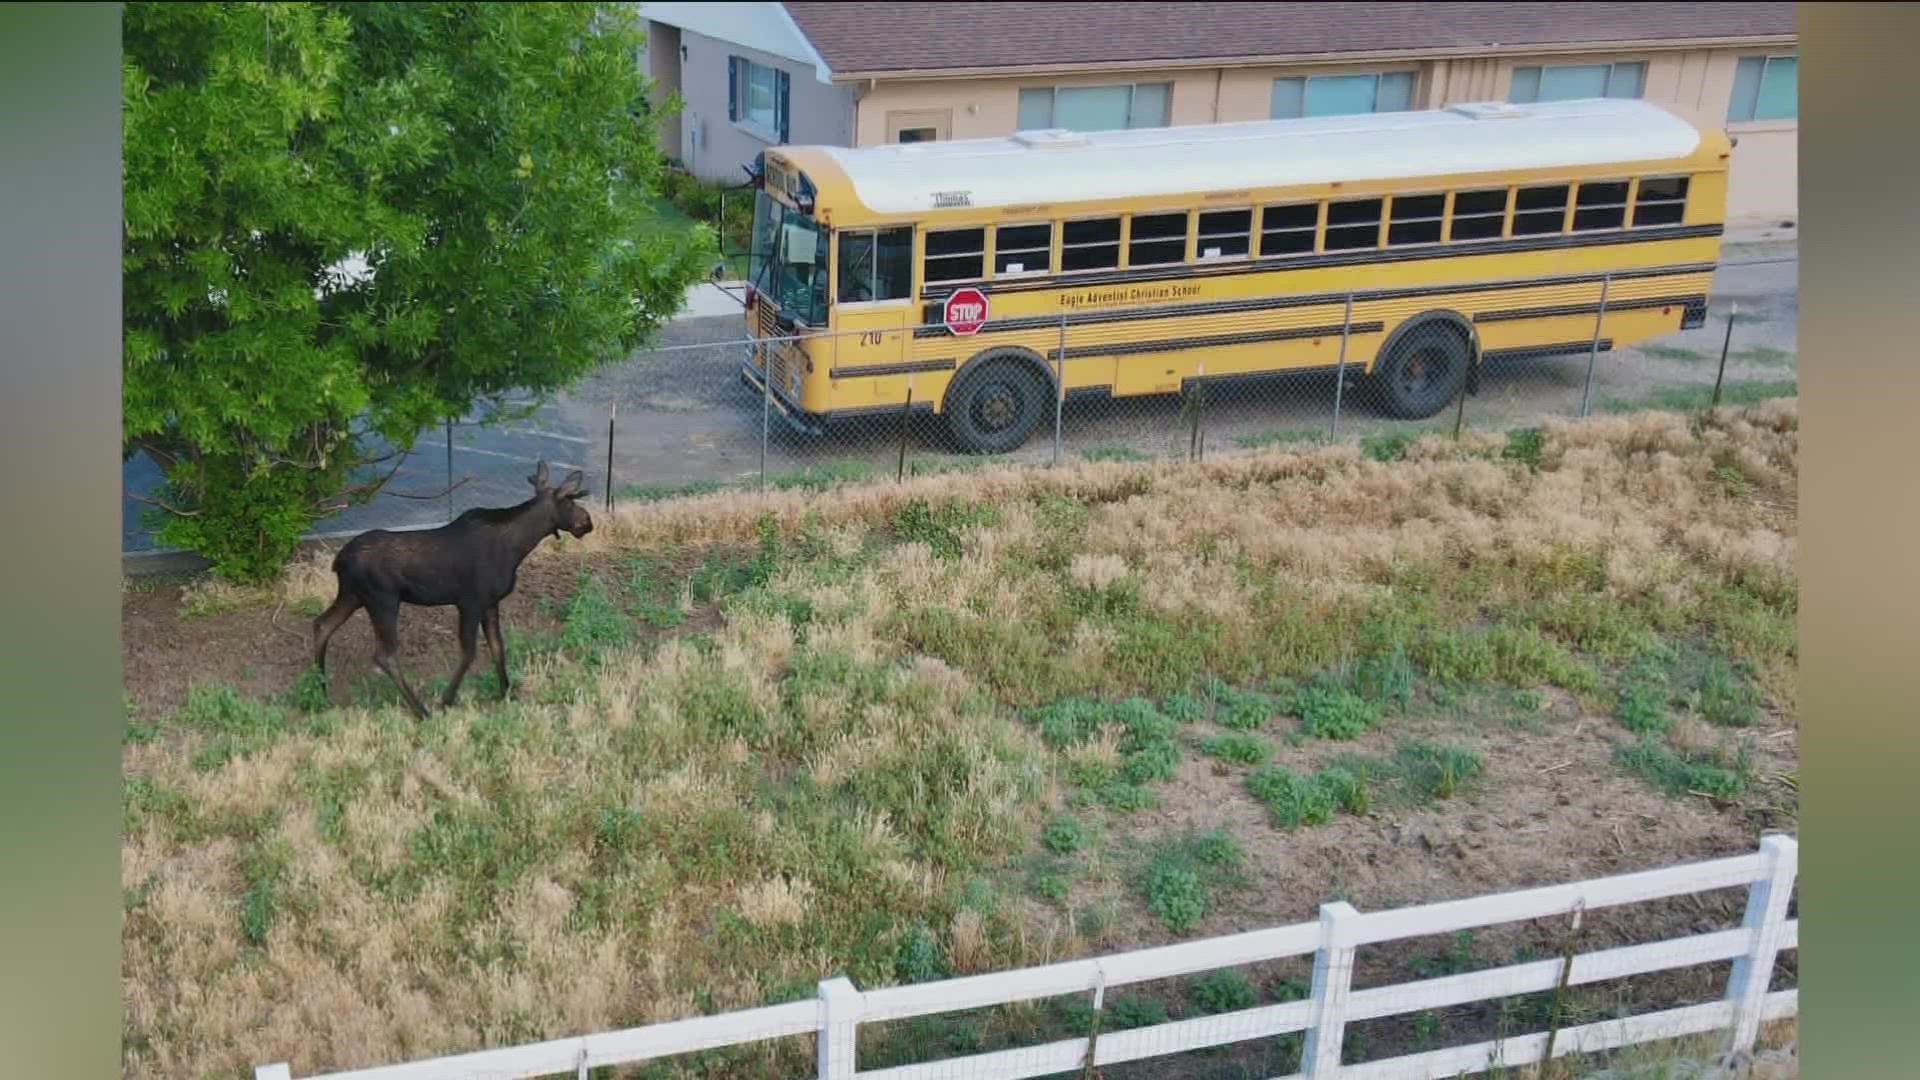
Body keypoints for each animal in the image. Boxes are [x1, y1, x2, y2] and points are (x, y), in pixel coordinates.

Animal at [309, 461, 595, 720]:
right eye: (571, 500)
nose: (588, 521)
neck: (518, 547)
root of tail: (339, 560)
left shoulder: (490, 603)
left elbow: (498, 647)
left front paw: (507, 692)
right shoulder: (470, 601)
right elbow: (469, 652)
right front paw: (446, 699)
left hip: (353, 595)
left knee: (322, 624)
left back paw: (321, 692)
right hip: (382, 599)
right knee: (384, 654)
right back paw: (421, 710)